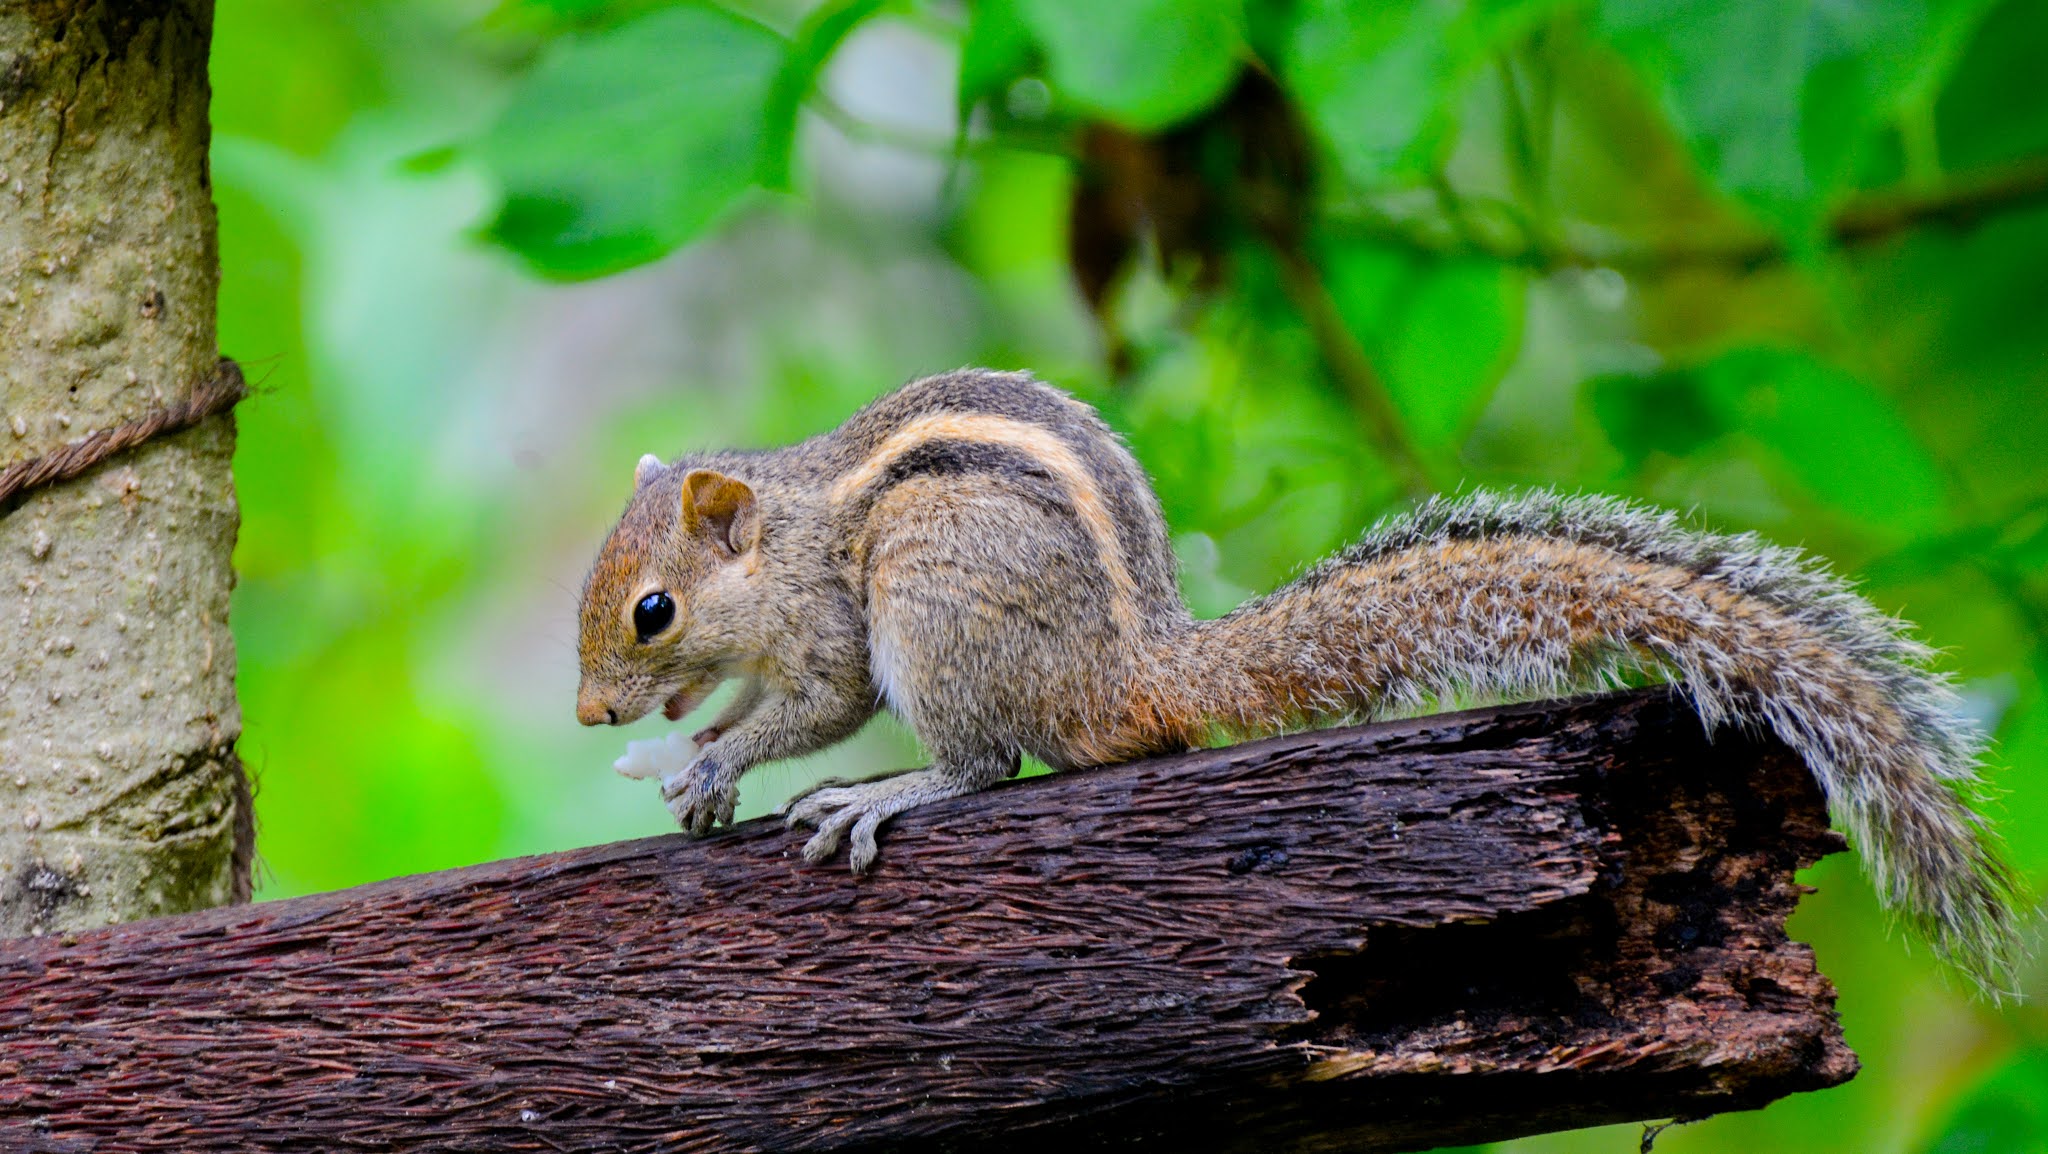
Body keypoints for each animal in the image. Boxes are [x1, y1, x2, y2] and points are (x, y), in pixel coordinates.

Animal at [577, 368, 2025, 995]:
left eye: (652, 610)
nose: (592, 712)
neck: (782, 534)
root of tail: (1138, 671)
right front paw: (681, 762)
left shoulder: (832, 625)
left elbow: (813, 707)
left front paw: (713, 758)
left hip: (939, 607)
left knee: (986, 760)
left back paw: (891, 790)